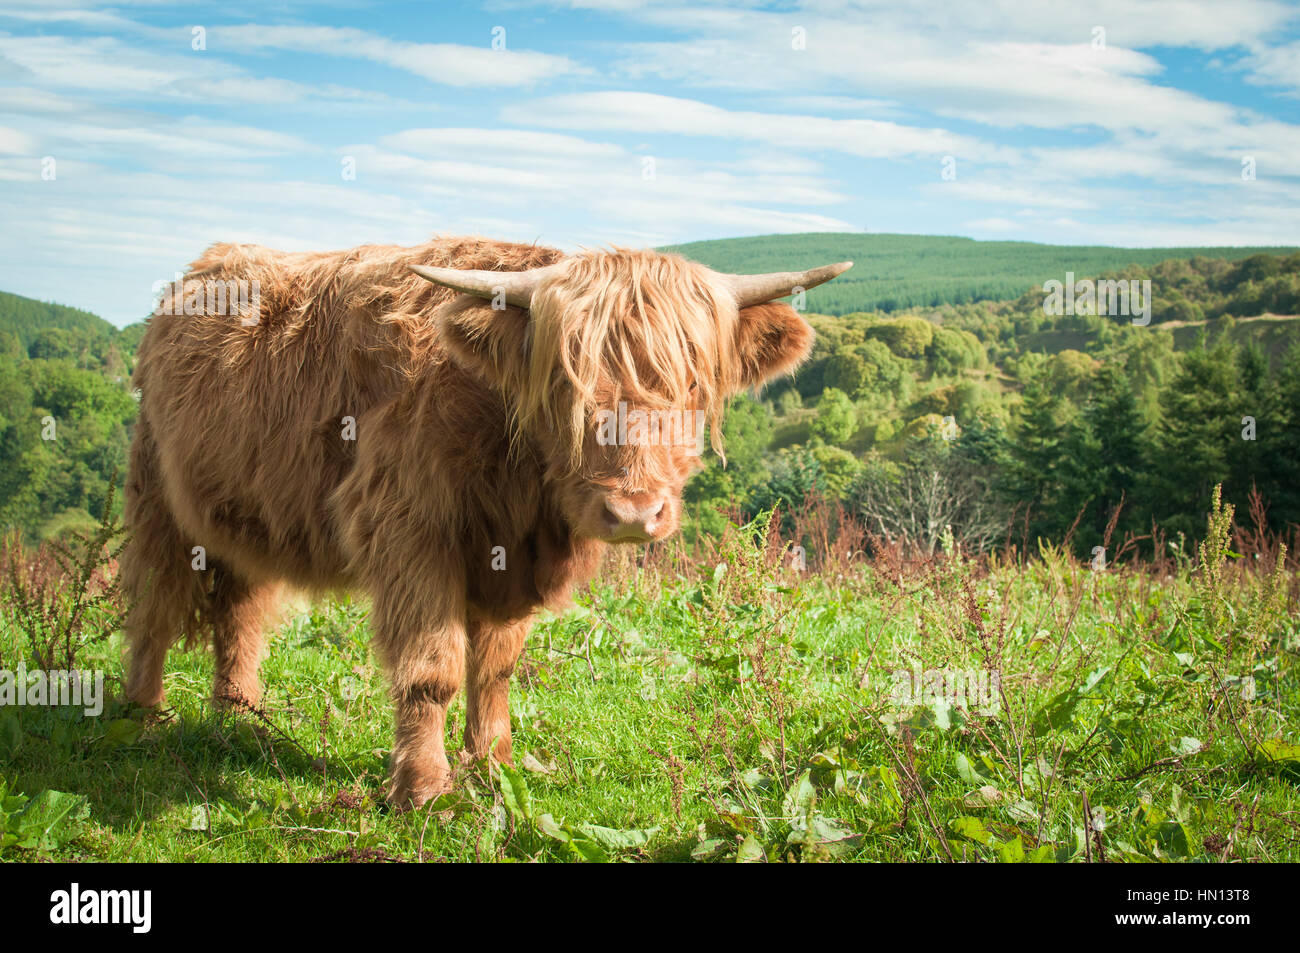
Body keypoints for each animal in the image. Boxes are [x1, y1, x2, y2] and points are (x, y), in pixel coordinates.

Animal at [121, 236, 851, 807]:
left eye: (693, 384)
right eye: (564, 382)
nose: (633, 512)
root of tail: (201, 270)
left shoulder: (509, 557)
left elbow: (496, 665)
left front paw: (495, 766)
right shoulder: (410, 530)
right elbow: (434, 667)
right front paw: (422, 790)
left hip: (246, 516)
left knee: (240, 611)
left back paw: (238, 717)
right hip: (155, 496)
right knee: (154, 607)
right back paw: (142, 718)